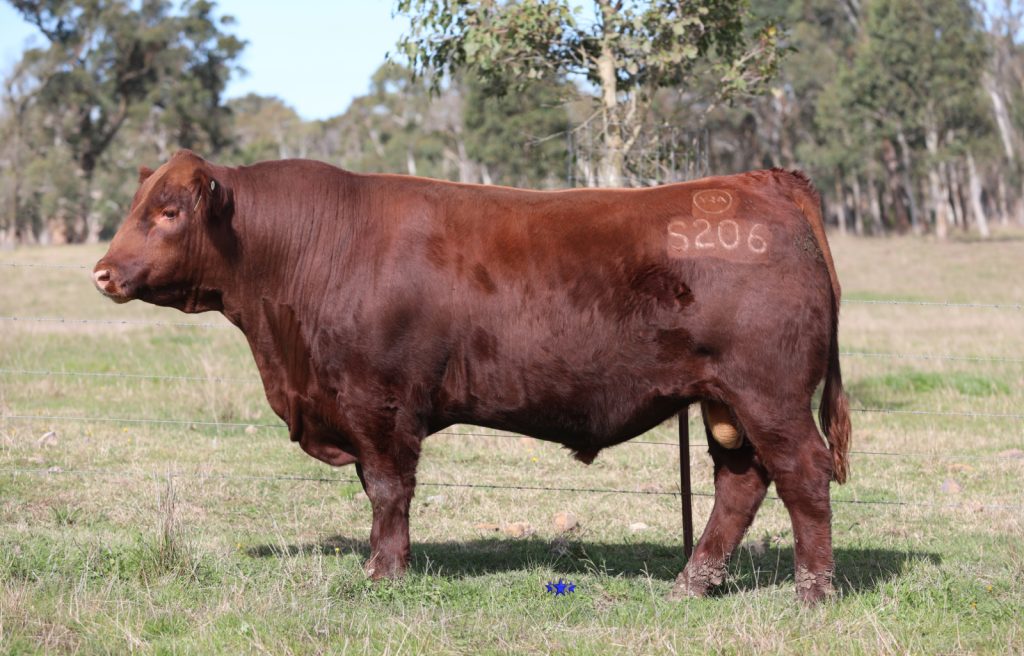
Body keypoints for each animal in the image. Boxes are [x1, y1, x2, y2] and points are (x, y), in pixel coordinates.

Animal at [93, 149, 851, 603]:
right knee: (741, 486)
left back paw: (813, 593)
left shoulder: (381, 405)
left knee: (803, 476)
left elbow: (388, 491)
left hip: (771, 395)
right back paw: (691, 583)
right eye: (138, 206)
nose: (102, 272)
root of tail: (759, 181)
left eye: (169, 212)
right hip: (727, 403)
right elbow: (380, 491)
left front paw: (383, 573)